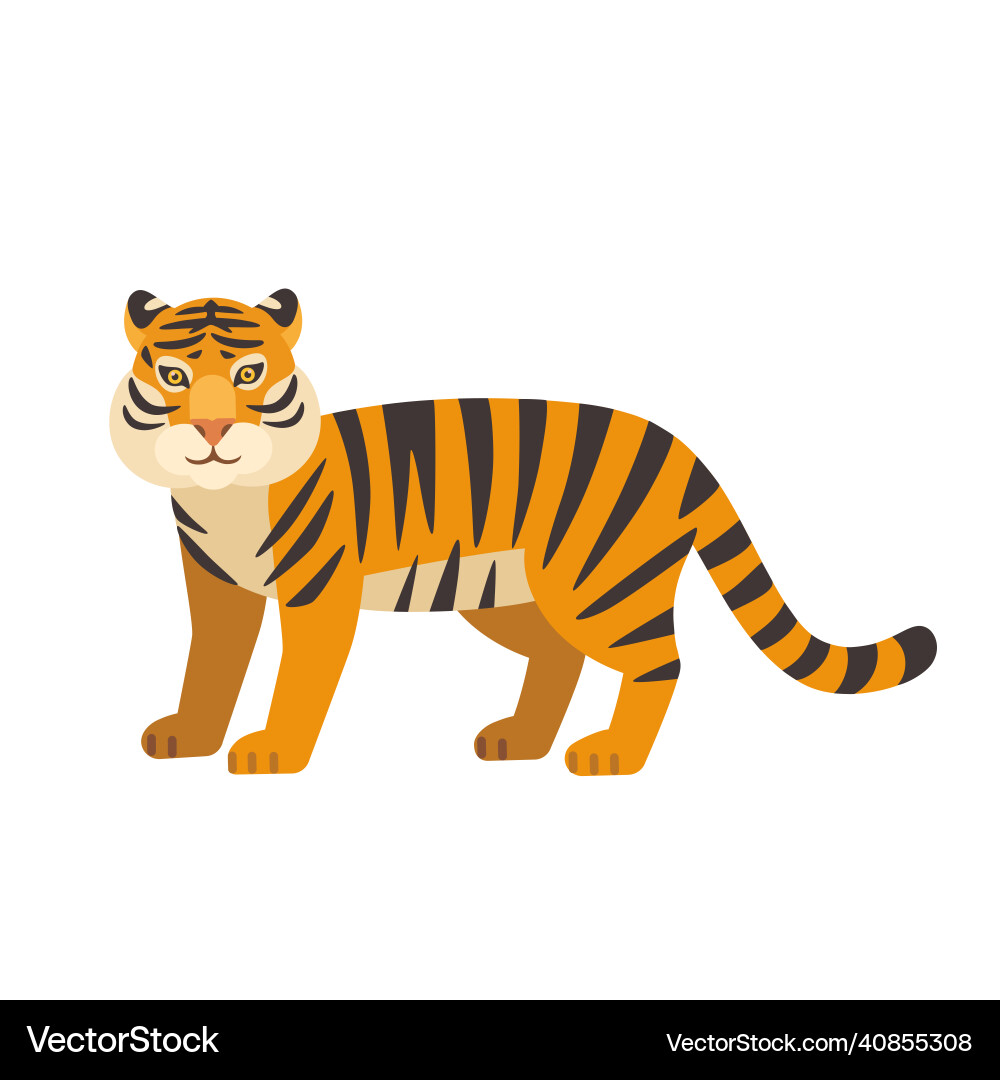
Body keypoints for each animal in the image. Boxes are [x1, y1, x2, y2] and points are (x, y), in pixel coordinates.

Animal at [111, 288, 937, 776]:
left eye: (248, 374)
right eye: (173, 376)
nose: (212, 429)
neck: (222, 496)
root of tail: (683, 449)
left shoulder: (319, 595)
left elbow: (298, 678)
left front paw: (275, 749)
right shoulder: (217, 589)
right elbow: (210, 666)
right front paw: (190, 735)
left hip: (600, 584)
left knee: (661, 661)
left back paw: (613, 755)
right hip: (509, 594)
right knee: (561, 658)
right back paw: (522, 742)